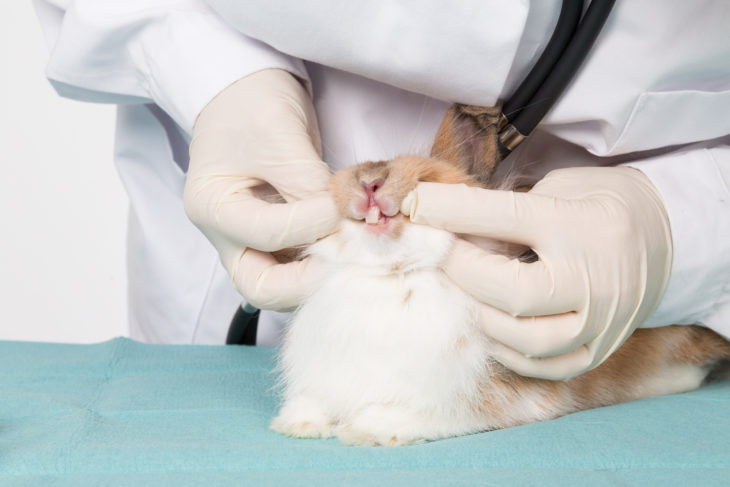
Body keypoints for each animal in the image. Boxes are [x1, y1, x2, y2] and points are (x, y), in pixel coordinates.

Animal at [270, 104, 730, 446]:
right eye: (341, 181)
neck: (394, 276)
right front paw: (299, 425)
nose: (368, 182)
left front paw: (367, 430)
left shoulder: (484, 399)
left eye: (426, 180)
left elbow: (422, 413)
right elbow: (314, 404)